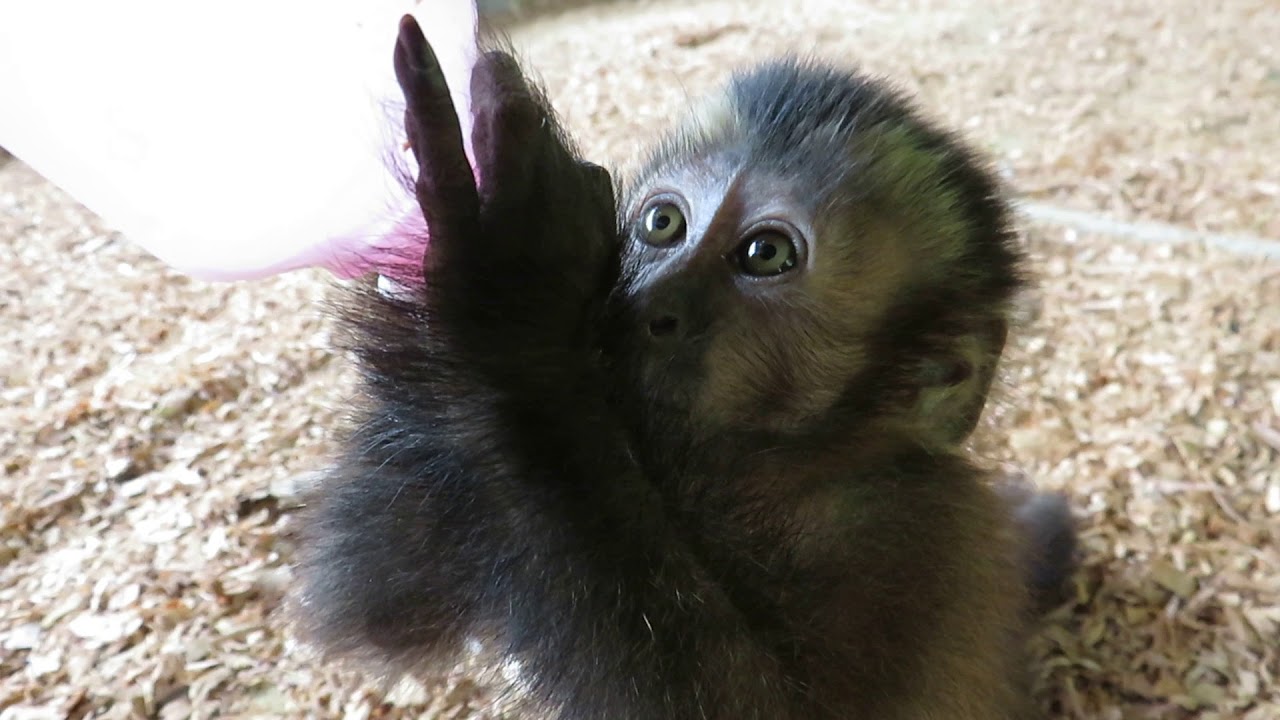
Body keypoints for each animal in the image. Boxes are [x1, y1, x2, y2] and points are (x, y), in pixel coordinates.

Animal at [293, 15, 1077, 720]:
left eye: (765, 254)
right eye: (661, 224)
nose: (651, 301)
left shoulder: (914, 537)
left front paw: (513, 298)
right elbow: (379, 604)